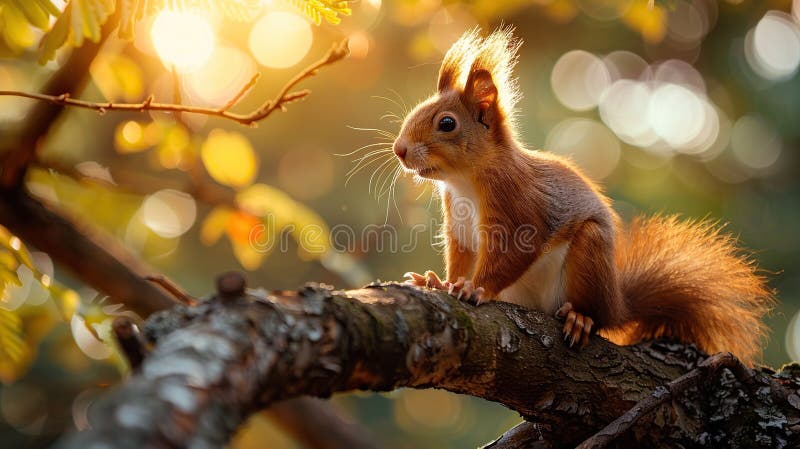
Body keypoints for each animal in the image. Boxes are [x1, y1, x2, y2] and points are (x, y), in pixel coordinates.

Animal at [394, 28, 774, 365]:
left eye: (446, 123)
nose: (400, 150)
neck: (465, 182)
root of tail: (617, 303)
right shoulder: (459, 225)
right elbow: (461, 256)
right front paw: (440, 282)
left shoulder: (518, 205)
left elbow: (513, 253)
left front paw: (477, 289)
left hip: (590, 255)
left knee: (599, 317)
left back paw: (581, 318)